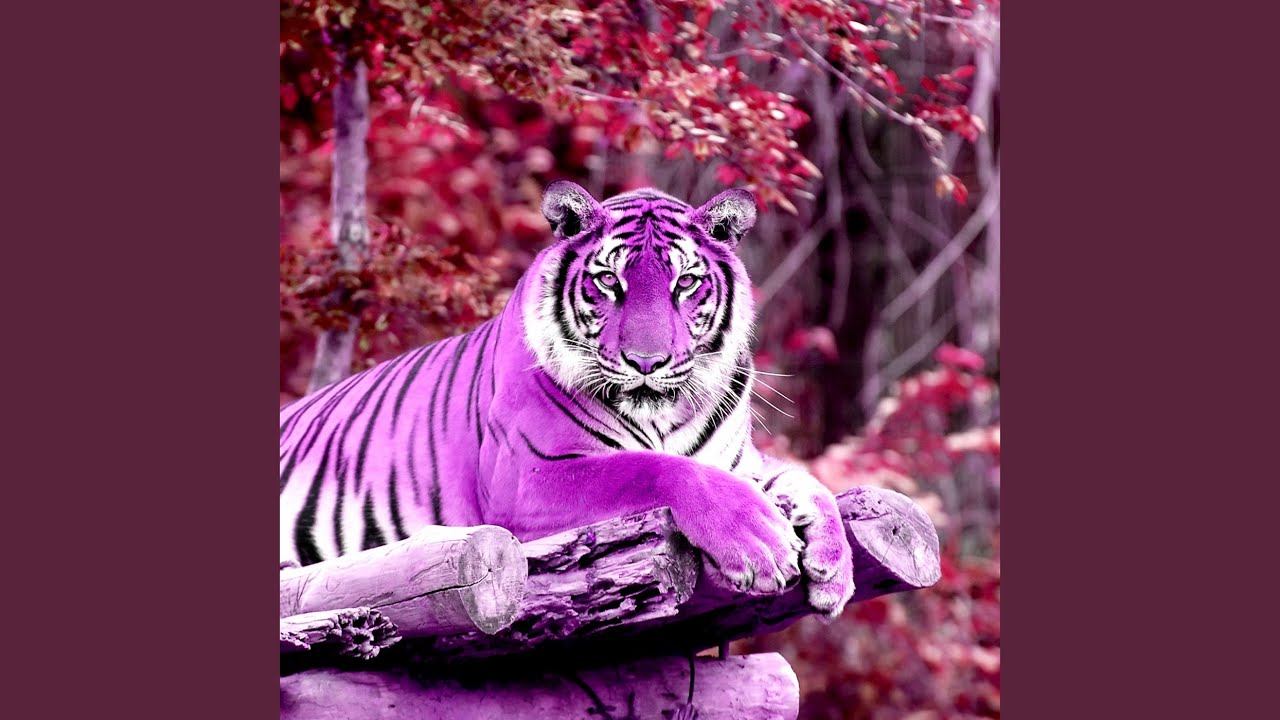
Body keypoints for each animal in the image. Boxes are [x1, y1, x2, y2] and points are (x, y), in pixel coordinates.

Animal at [279, 181, 855, 614]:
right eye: (609, 281)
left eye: (686, 284)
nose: (647, 362)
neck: (663, 417)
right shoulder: (527, 478)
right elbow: (652, 469)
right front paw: (759, 543)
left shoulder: (740, 461)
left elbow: (806, 480)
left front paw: (834, 564)